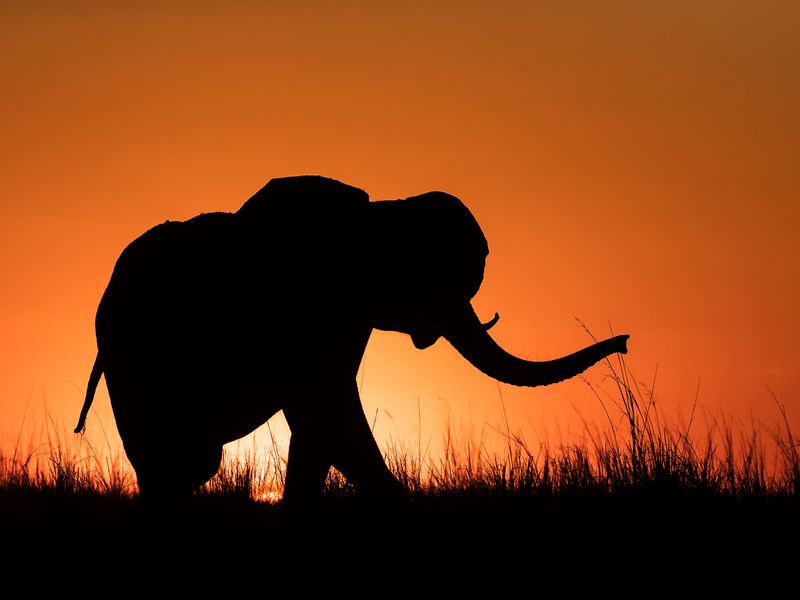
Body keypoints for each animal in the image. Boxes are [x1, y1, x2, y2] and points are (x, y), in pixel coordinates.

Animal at [74, 175, 629, 502]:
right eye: (444, 279)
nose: (623, 341)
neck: (378, 216)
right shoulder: (311, 311)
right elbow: (329, 414)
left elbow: (318, 427)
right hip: (133, 359)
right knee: (176, 462)